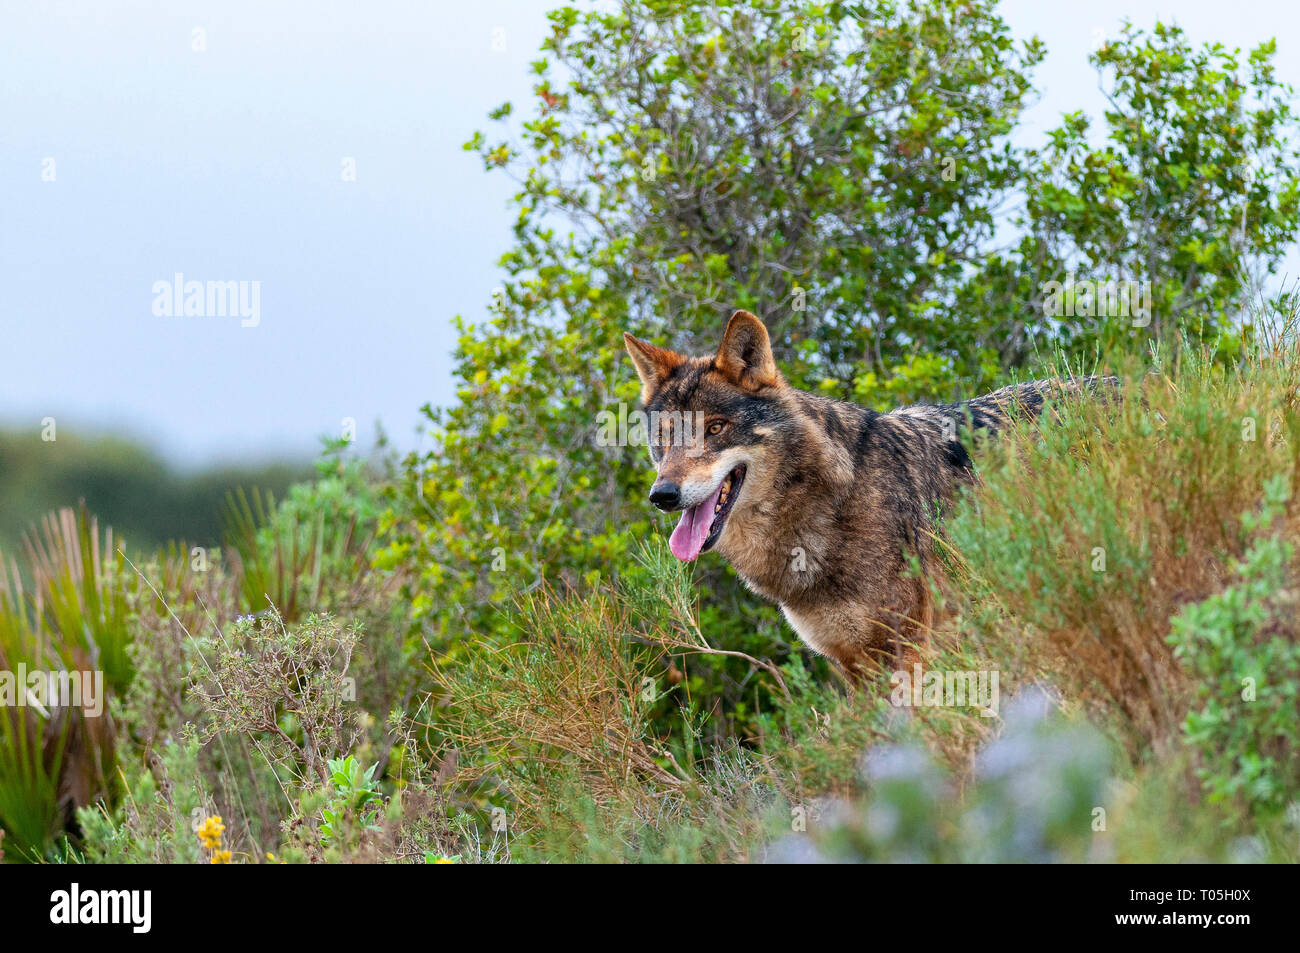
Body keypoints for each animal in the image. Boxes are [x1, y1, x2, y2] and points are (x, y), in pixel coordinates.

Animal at [625, 310, 1116, 679]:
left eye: (716, 428)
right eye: (665, 437)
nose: (663, 495)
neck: (829, 503)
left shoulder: (909, 646)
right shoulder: (851, 660)